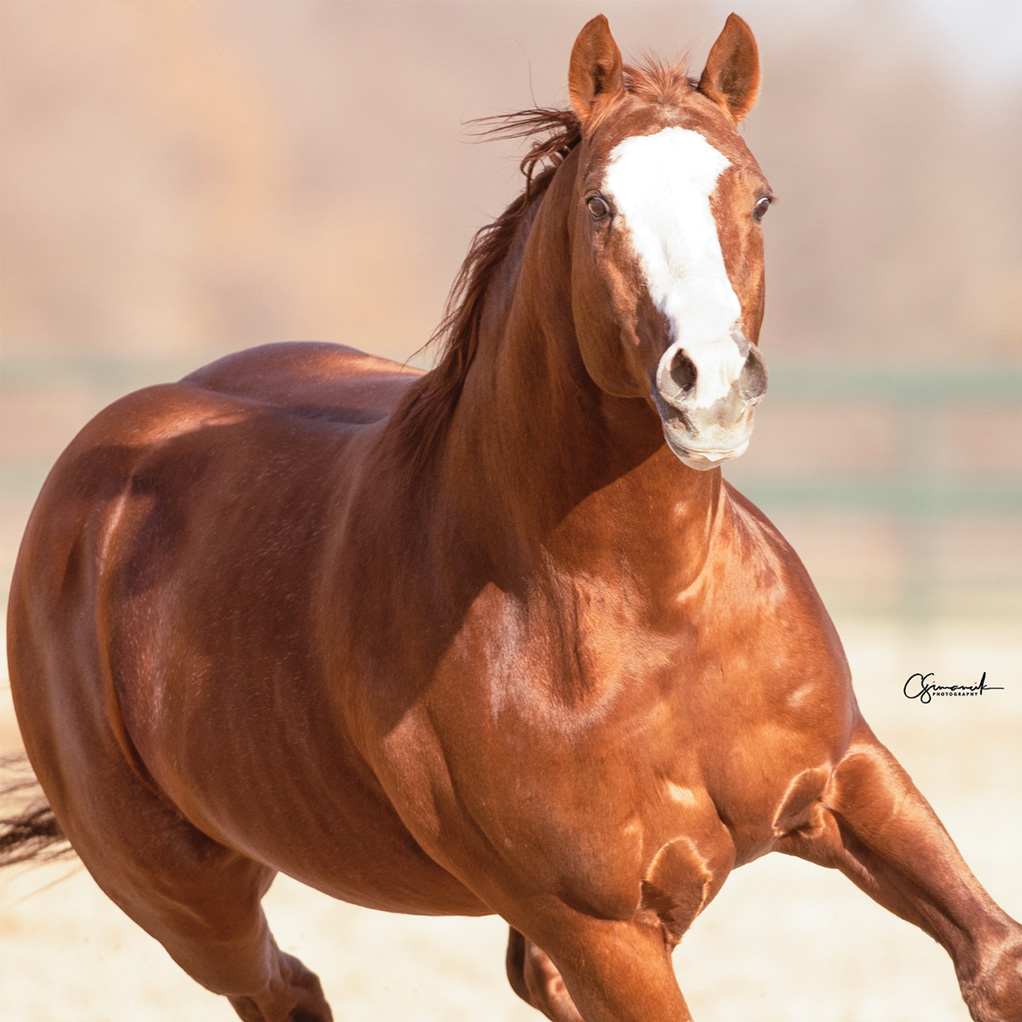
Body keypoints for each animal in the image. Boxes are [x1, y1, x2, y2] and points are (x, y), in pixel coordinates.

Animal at [4, 13, 1020, 1022]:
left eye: (760, 199)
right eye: (599, 206)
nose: (713, 388)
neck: (650, 615)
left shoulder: (849, 780)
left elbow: (993, 958)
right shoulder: (601, 928)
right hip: (191, 899)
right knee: (282, 988)